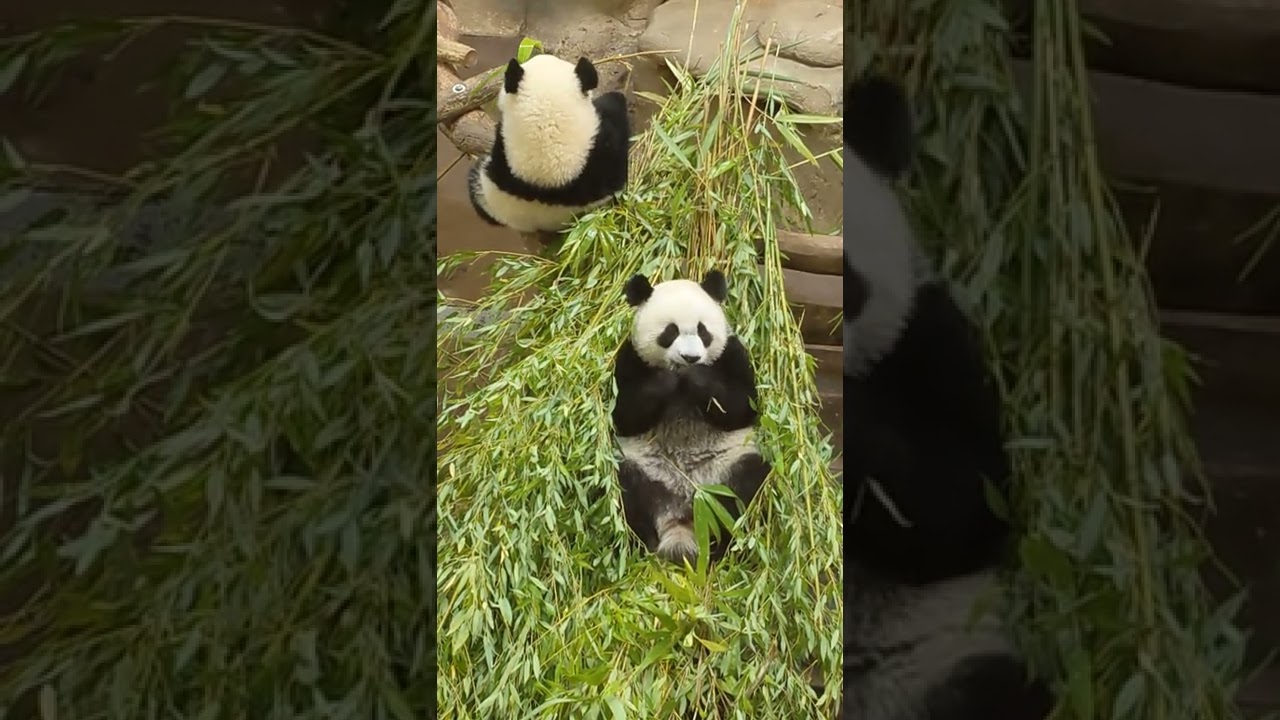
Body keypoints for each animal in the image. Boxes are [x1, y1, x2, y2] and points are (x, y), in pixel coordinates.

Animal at [610, 269, 770, 565]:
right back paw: (648, 544)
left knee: (743, 489)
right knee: (626, 488)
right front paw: (667, 380)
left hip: (725, 469)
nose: (690, 357)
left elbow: (743, 407)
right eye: (670, 331)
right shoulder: (630, 357)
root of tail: (686, 514)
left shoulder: (732, 352)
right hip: (646, 469)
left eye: (702, 331)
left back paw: (720, 548)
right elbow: (623, 415)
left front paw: (696, 377)